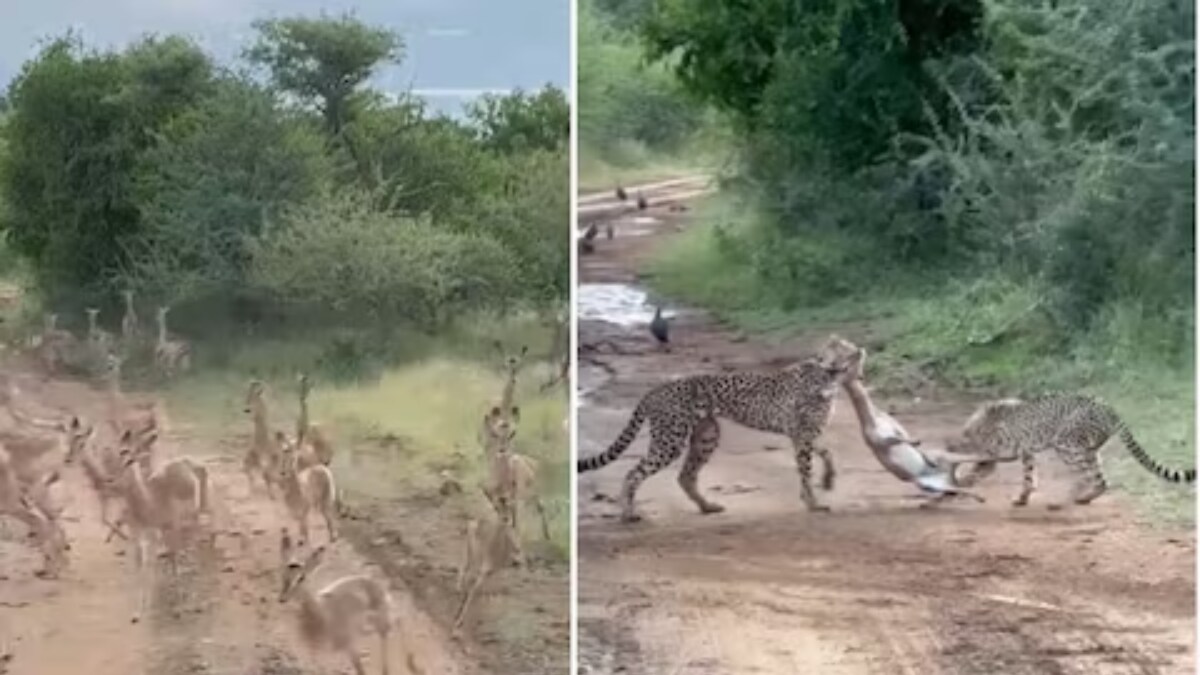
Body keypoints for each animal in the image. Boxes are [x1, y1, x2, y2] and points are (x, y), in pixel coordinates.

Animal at [279, 531, 413, 675]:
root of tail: (374, 584)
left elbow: (361, 670)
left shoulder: (349, 647)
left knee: (396, 624)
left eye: (301, 578)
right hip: (367, 628)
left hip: (380, 621)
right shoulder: (321, 659)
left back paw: (409, 664)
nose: (282, 599)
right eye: (283, 576)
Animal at [577, 335, 863, 521]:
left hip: (706, 435)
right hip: (670, 440)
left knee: (685, 475)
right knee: (633, 473)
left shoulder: (803, 434)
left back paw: (707, 507)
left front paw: (828, 480)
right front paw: (813, 503)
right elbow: (805, 471)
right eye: (840, 347)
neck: (828, 376)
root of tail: (654, 390)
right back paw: (628, 513)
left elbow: (826, 453)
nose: (860, 351)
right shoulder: (802, 434)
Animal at [948, 393, 1196, 508]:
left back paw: (1062, 502)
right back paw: (1085, 498)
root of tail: (1107, 406)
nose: (950, 448)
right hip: (1088, 448)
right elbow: (1028, 476)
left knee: (1088, 478)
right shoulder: (1026, 451)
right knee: (1100, 479)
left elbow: (981, 467)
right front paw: (1023, 497)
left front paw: (962, 482)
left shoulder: (998, 452)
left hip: (1067, 444)